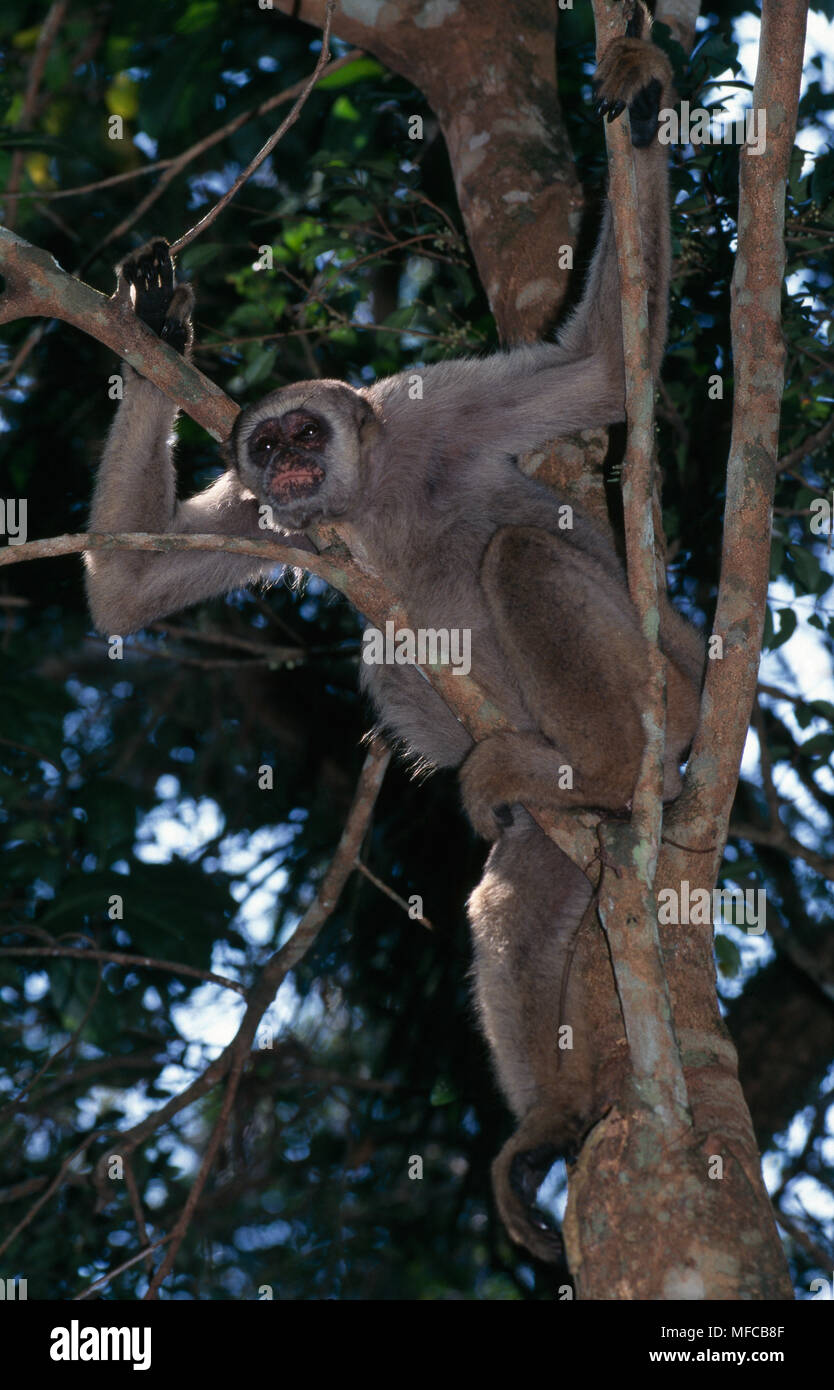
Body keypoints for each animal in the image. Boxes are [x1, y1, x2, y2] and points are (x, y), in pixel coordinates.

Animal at [84, 5, 703, 1263]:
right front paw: (150, 325)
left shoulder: (433, 408)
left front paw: (644, 91)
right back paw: (552, 1118)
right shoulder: (273, 520)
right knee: (512, 893)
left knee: (520, 559)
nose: (284, 461)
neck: (368, 503)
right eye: (266, 446)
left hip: (653, 686)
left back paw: (603, 757)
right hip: (564, 837)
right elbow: (123, 592)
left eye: (303, 433)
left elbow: (601, 373)